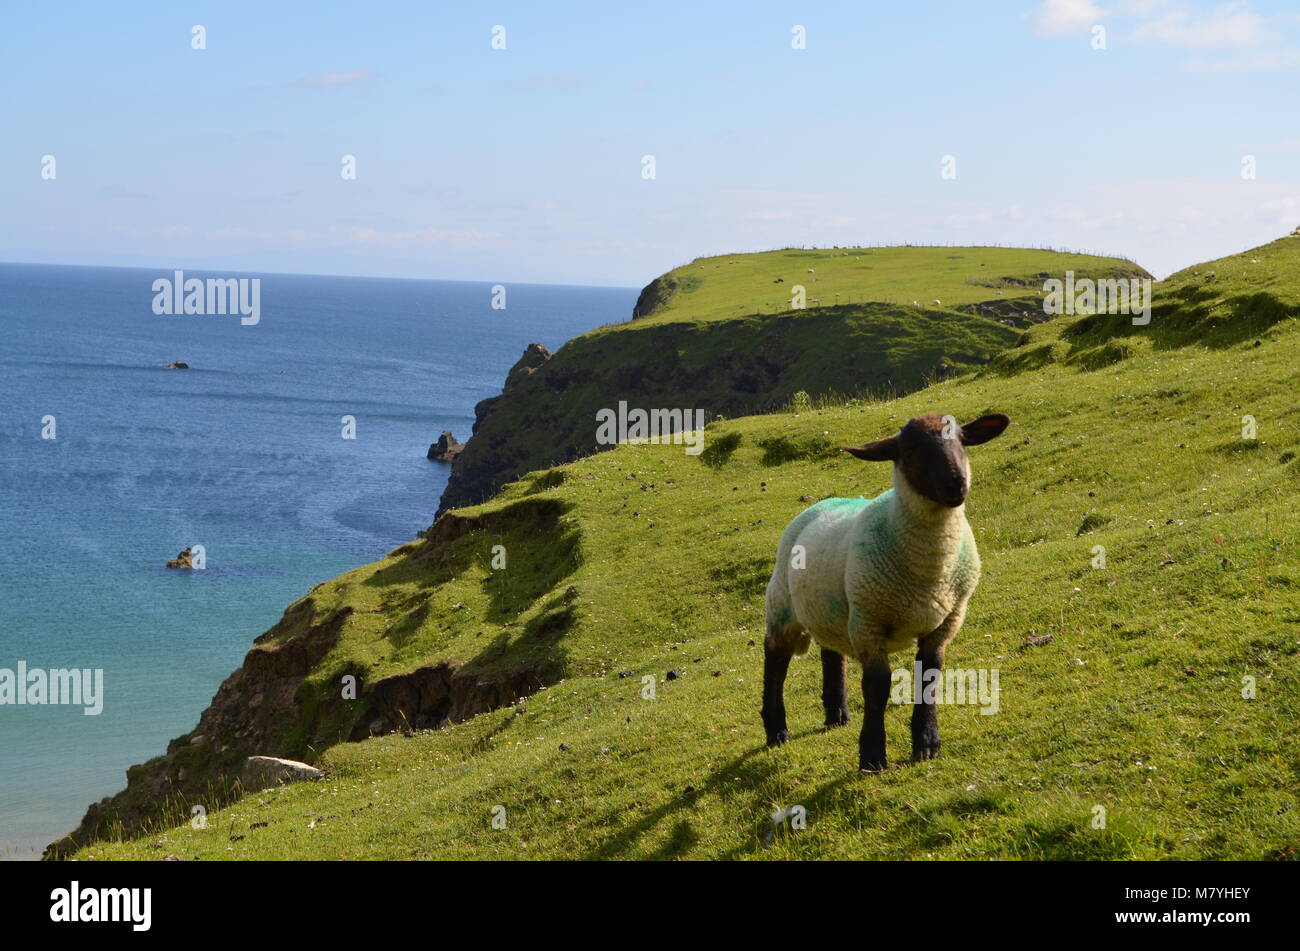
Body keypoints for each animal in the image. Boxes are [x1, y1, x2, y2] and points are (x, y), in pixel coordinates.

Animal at [761, 412, 1010, 771]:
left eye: (962, 441)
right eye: (909, 451)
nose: (957, 484)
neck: (930, 569)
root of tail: (821, 504)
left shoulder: (947, 621)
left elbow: (929, 676)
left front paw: (927, 743)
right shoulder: (869, 623)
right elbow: (877, 687)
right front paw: (872, 755)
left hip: (831, 608)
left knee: (831, 653)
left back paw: (837, 715)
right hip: (782, 605)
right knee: (775, 660)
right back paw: (777, 730)